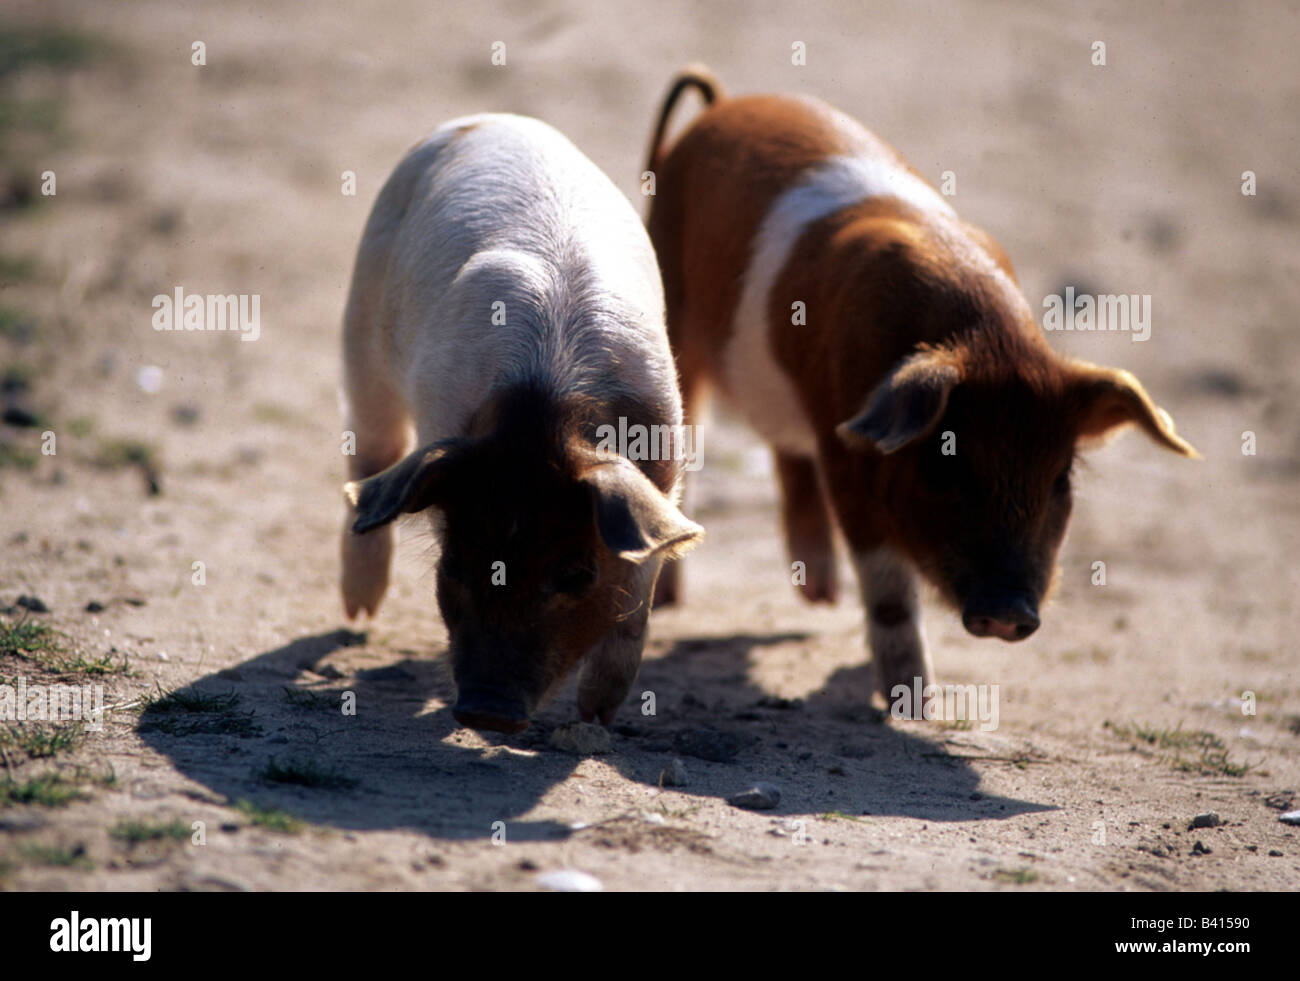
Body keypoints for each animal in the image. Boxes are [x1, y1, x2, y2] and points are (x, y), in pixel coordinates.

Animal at [340, 114, 702, 733]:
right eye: (453, 565)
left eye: (577, 574)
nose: (486, 710)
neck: (544, 415)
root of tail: (486, 119)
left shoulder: (663, 469)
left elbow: (639, 590)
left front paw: (596, 717)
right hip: (362, 327)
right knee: (370, 456)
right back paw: (357, 614)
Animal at [643, 67, 1197, 704]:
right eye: (943, 466)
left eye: (1061, 480)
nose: (1009, 612)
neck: (981, 335)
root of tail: (719, 106)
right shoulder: (845, 448)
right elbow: (888, 587)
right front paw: (916, 703)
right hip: (677, 321)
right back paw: (673, 602)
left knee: (785, 454)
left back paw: (821, 597)